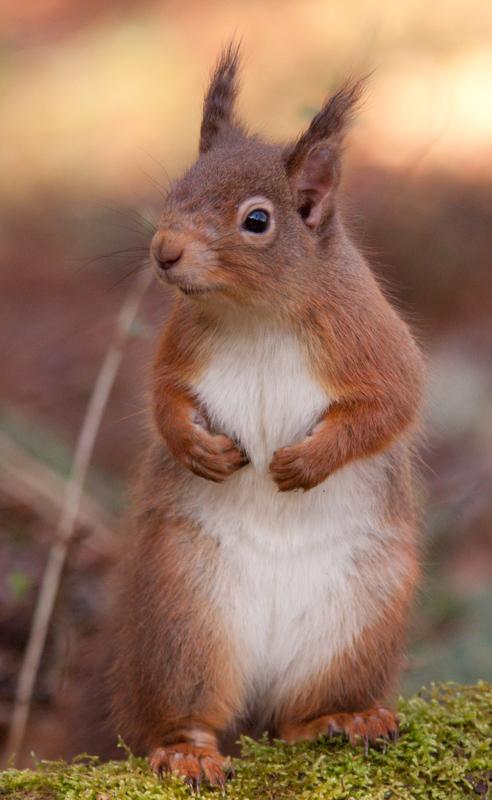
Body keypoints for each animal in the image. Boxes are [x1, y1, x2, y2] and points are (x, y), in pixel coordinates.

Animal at [109, 44, 424, 790]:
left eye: (257, 221)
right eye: (177, 188)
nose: (164, 251)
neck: (255, 315)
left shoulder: (369, 338)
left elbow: (392, 403)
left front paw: (307, 462)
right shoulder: (181, 346)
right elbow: (162, 401)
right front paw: (198, 450)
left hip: (357, 621)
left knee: (296, 717)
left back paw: (344, 718)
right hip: (182, 612)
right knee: (186, 711)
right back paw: (187, 750)